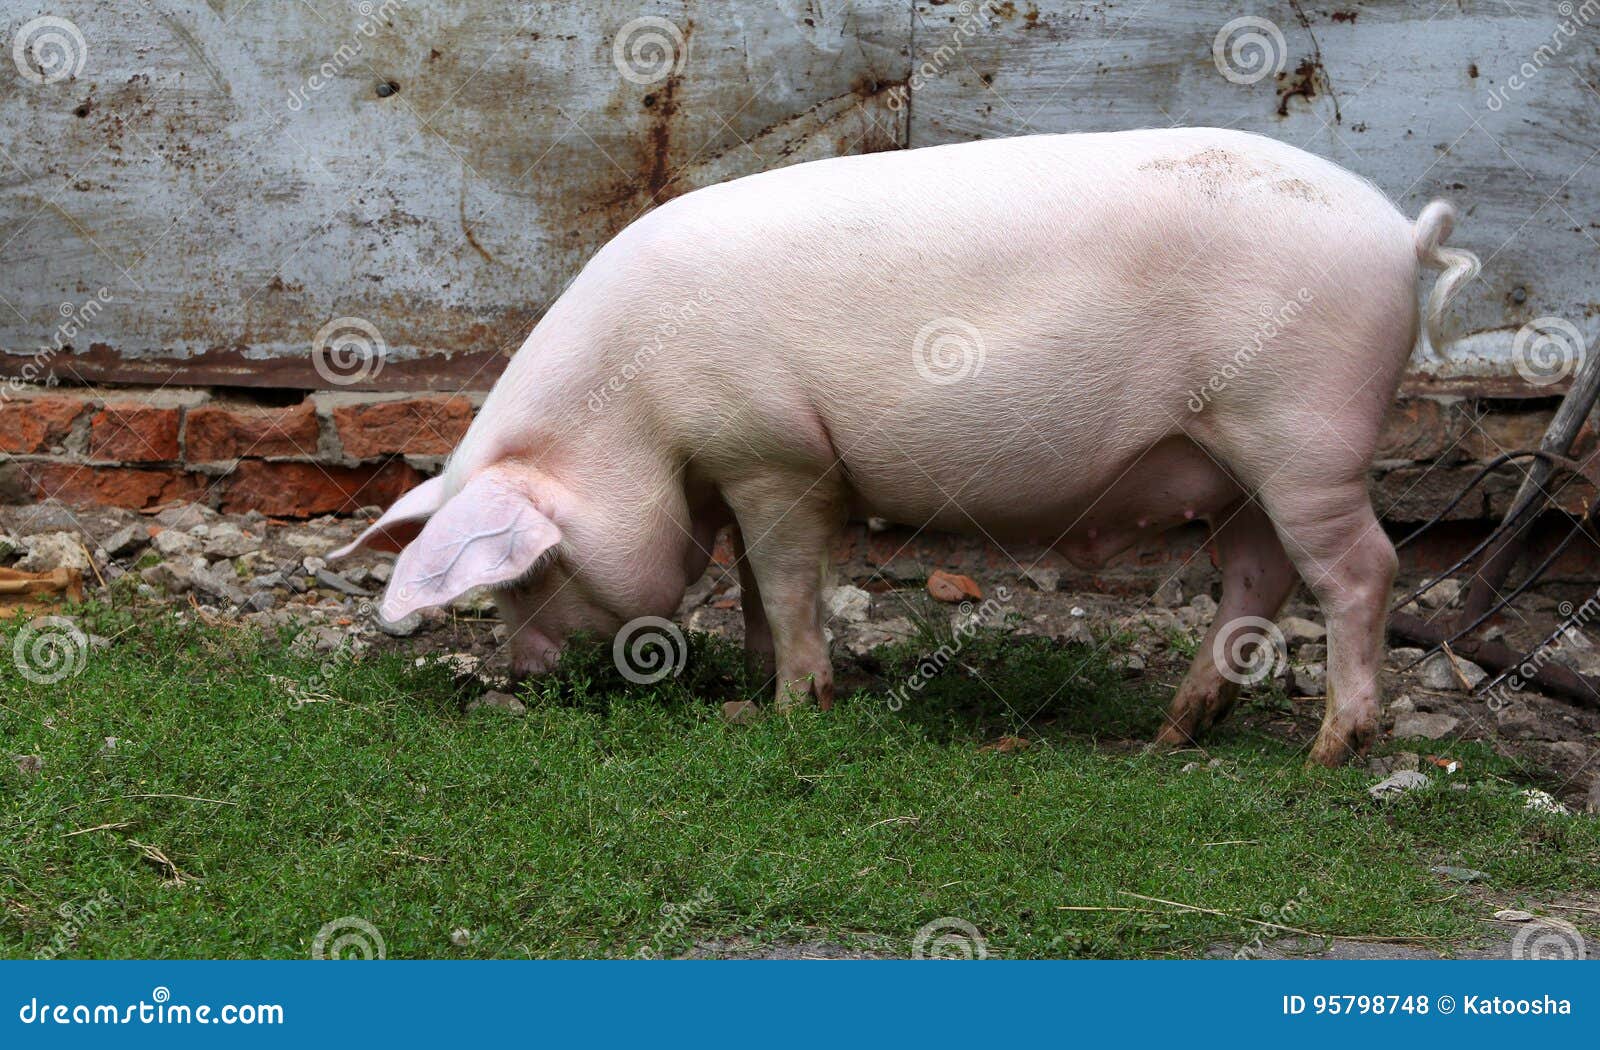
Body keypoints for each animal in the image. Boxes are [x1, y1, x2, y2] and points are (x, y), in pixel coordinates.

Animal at [332, 127, 1480, 767]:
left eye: (526, 576)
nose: (521, 674)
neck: (631, 411)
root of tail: (1398, 235)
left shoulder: (775, 456)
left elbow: (785, 578)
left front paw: (789, 708)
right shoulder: (749, 470)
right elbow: (758, 587)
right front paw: (761, 681)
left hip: (1304, 428)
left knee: (1359, 568)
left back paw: (1329, 755)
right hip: (1236, 454)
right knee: (1256, 570)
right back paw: (1173, 733)